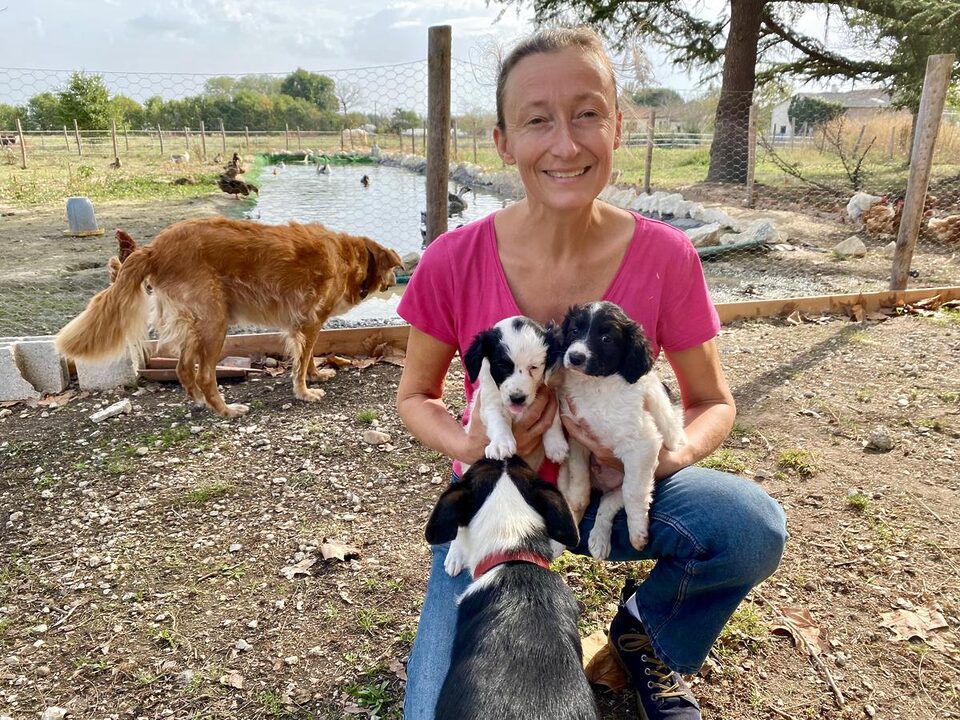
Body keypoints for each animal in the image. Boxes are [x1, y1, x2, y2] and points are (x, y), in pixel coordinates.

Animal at [57, 217, 402, 416]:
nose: (394, 281)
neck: (351, 258)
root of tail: (154, 248)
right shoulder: (309, 323)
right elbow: (302, 362)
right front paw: (305, 392)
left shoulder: (303, 326)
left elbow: (307, 358)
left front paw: (317, 375)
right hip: (215, 324)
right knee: (204, 375)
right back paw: (226, 410)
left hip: (197, 325)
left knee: (184, 369)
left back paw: (200, 402)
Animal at [552, 300, 688, 560]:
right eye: (574, 330)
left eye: (606, 339)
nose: (574, 357)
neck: (596, 387)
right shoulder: (577, 437)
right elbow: (578, 482)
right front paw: (576, 507)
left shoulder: (643, 446)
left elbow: (633, 492)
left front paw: (638, 532)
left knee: (613, 500)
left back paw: (599, 537)